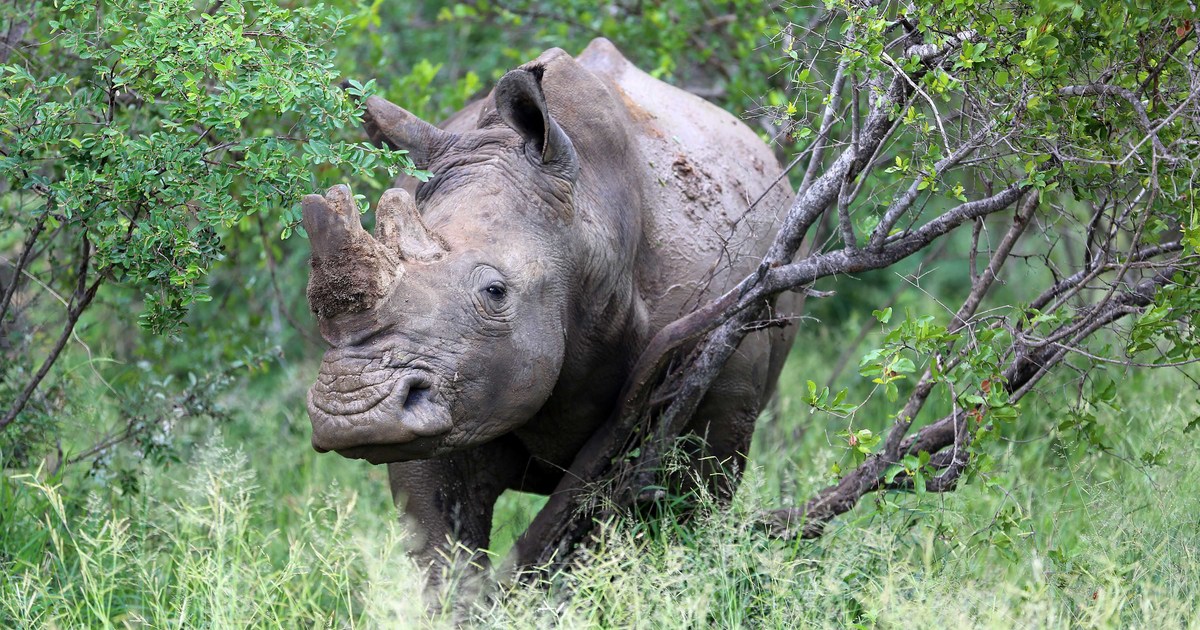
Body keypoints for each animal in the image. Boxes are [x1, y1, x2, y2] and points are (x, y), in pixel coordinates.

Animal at [301, 38, 797, 573]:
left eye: (495, 292)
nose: (353, 411)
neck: (589, 217)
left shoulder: (718, 363)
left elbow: (688, 518)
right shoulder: (445, 410)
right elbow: (441, 548)